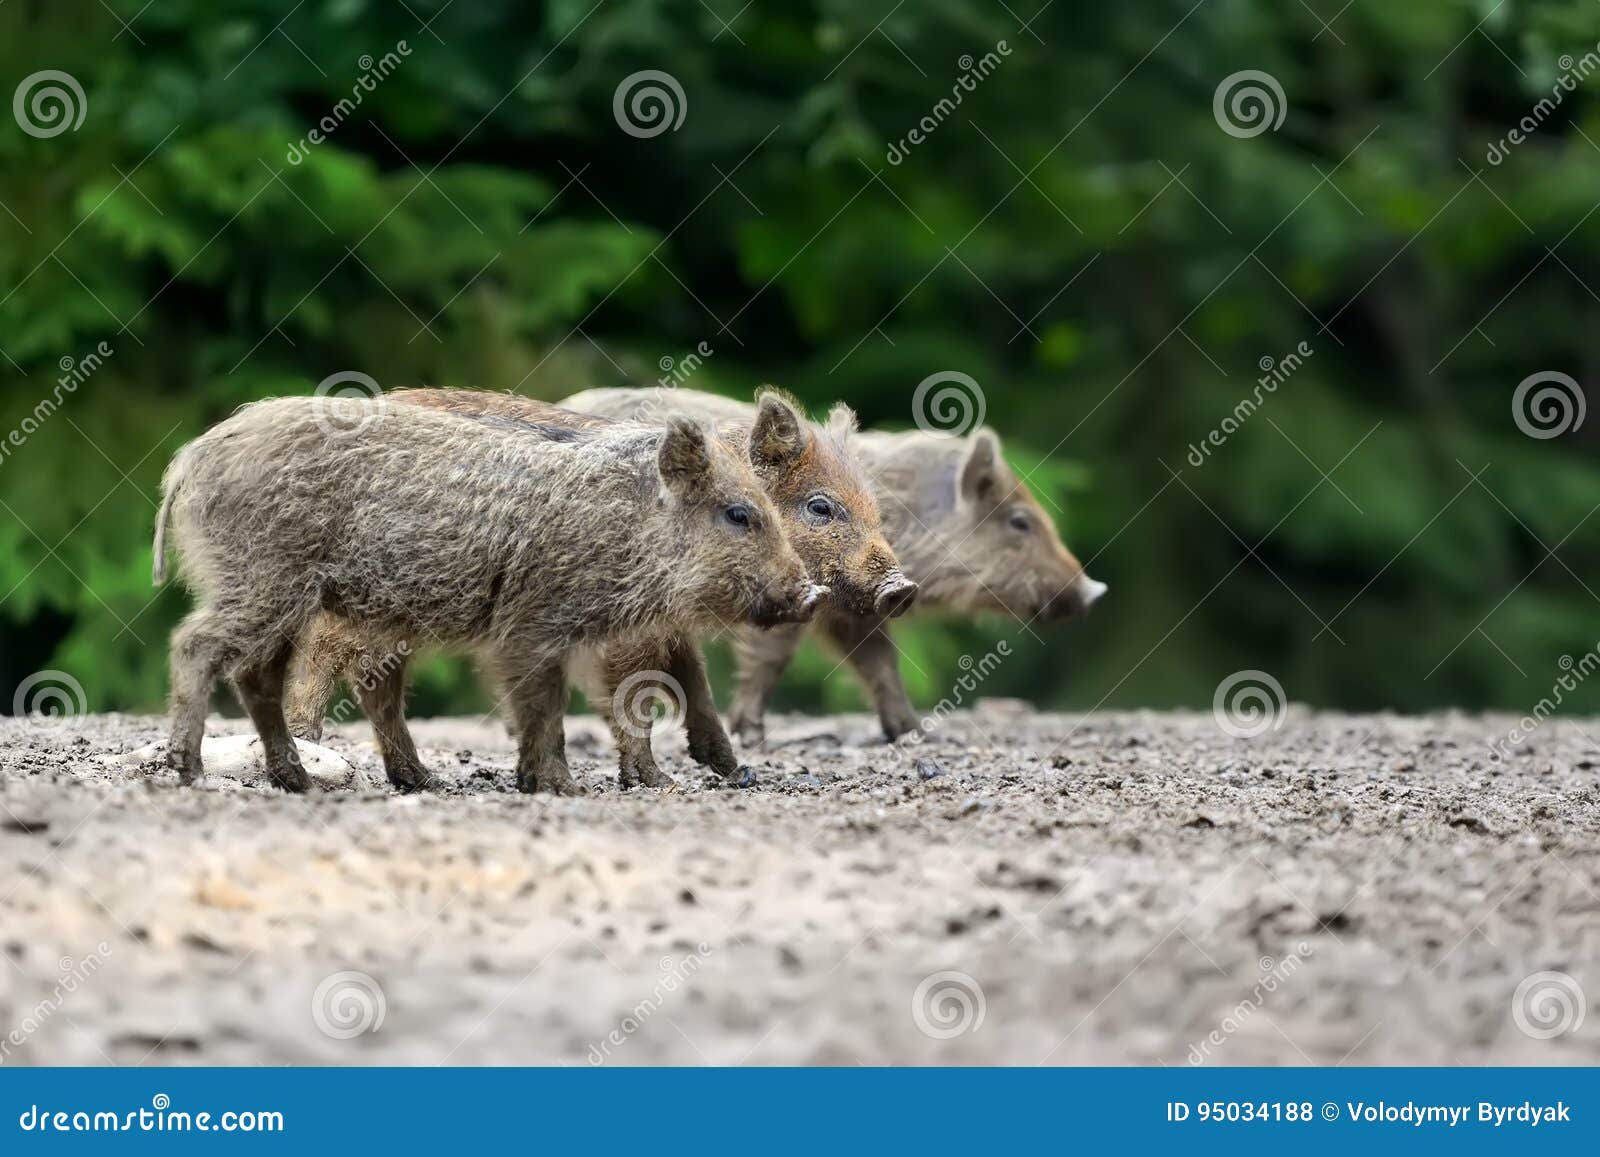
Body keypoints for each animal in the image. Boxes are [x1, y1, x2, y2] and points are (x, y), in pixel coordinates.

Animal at [151, 394, 823, 794]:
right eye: (738, 515)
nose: (809, 592)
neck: (625, 524)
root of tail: (189, 459)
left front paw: (541, 784)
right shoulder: (531, 625)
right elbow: (544, 709)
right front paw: (563, 788)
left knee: (267, 679)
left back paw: (328, 782)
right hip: (265, 581)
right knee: (193, 645)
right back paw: (188, 772)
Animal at [282, 387, 914, 789]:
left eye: (874, 509)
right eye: (820, 507)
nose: (901, 589)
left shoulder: (668, 628)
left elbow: (695, 685)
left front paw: (735, 771)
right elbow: (638, 697)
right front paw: (654, 780)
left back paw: (417, 779)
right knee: (326, 653)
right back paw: (315, 750)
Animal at [563, 387, 1107, 743]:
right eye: (1019, 522)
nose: (1095, 592)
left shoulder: (854, 613)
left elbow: (880, 662)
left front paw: (913, 733)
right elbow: (772, 657)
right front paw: (751, 736)